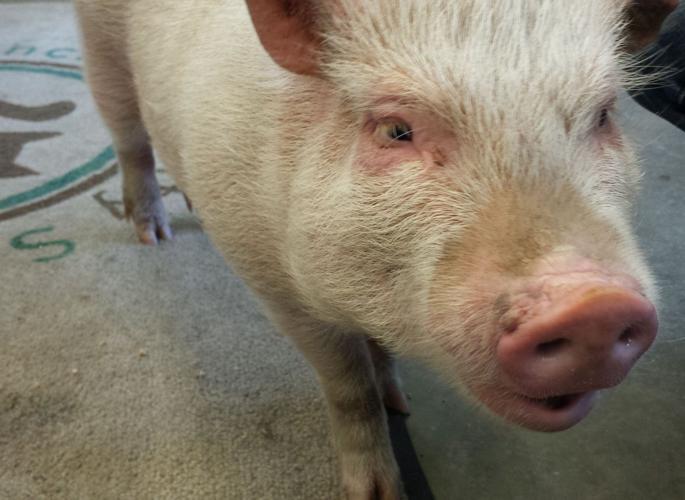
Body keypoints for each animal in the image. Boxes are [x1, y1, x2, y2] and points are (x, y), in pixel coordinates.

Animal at [74, 0, 678, 498]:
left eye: (603, 116)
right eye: (394, 130)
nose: (592, 303)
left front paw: (399, 402)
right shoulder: (272, 281)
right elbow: (348, 386)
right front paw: (376, 492)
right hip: (100, 48)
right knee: (128, 137)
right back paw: (154, 234)